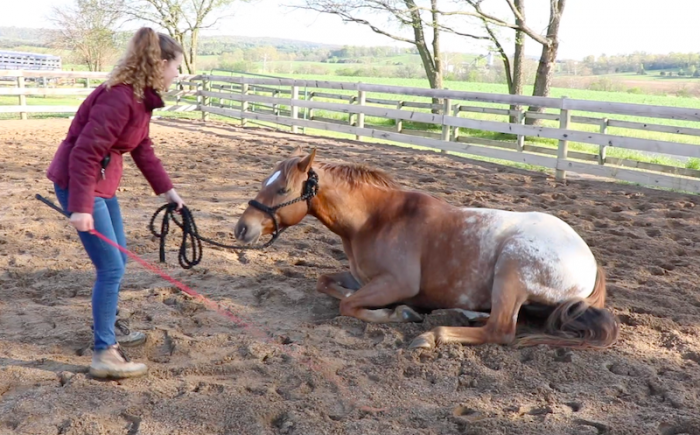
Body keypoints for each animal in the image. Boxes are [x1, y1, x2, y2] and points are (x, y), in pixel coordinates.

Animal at [233, 147, 620, 350]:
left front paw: (401, 314)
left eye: (283, 189)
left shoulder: (398, 283)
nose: (242, 228)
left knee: (501, 330)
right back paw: (464, 314)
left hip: (511, 269)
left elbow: (347, 305)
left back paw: (432, 334)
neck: (376, 219)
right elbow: (326, 283)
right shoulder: (366, 278)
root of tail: (590, 263)